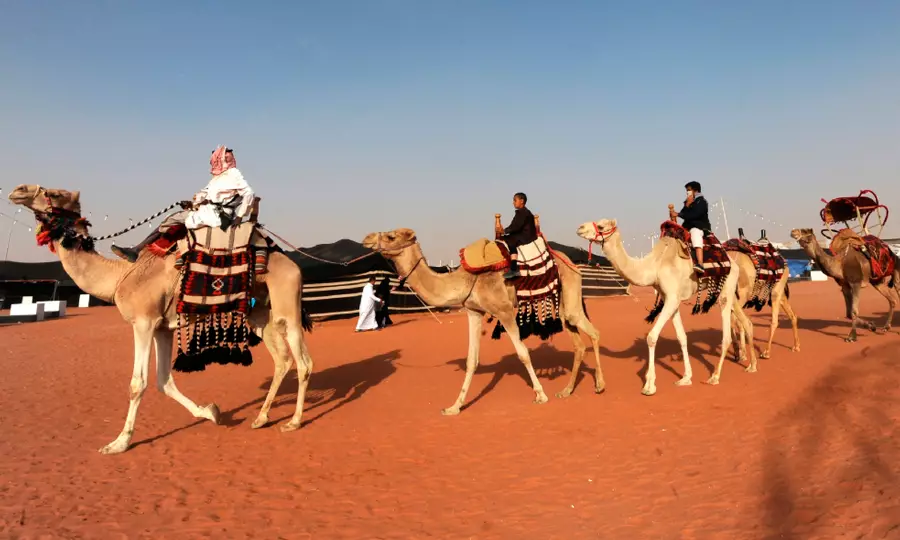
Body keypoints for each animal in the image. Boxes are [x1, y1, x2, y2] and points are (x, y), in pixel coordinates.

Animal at [7, 184, 312, 454]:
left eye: (53, 193)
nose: (18, 190)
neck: (119, 275)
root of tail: (294, 265)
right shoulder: (162, 328)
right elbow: (163, 380)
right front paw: (210, 412)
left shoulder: (143, 322)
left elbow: (137, 383)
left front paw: (119, 443)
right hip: (261, 315)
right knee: (283, 360)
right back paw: (261, 418)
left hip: (287, 305)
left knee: (304, 362)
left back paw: (294, 422)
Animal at [360, 228, 604, 414]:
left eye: (391, 236)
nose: (367, 238)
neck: (466, 279)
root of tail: (571, 262)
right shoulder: (473, 311)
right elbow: (472, 360)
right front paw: (454, 407)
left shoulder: (504, 311)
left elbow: (523, 353)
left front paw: (541, 395)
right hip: (563, 304)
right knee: (578, 344)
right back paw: (566, 390)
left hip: (570, 290)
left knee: (593, 333)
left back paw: (600, 385)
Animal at [572, 217, 756, 394]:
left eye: (601, 227)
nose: (580, 228)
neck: (654, 265)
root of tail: (733, 262)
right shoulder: (671, 298)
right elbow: (682, 337)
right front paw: (686, 378)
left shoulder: (672, 298)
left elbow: (652, 337)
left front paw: (649, 385)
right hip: (729, 289)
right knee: (746, 321)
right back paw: (752, 366)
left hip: (727, 286)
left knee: (726, 333)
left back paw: (715, 376)